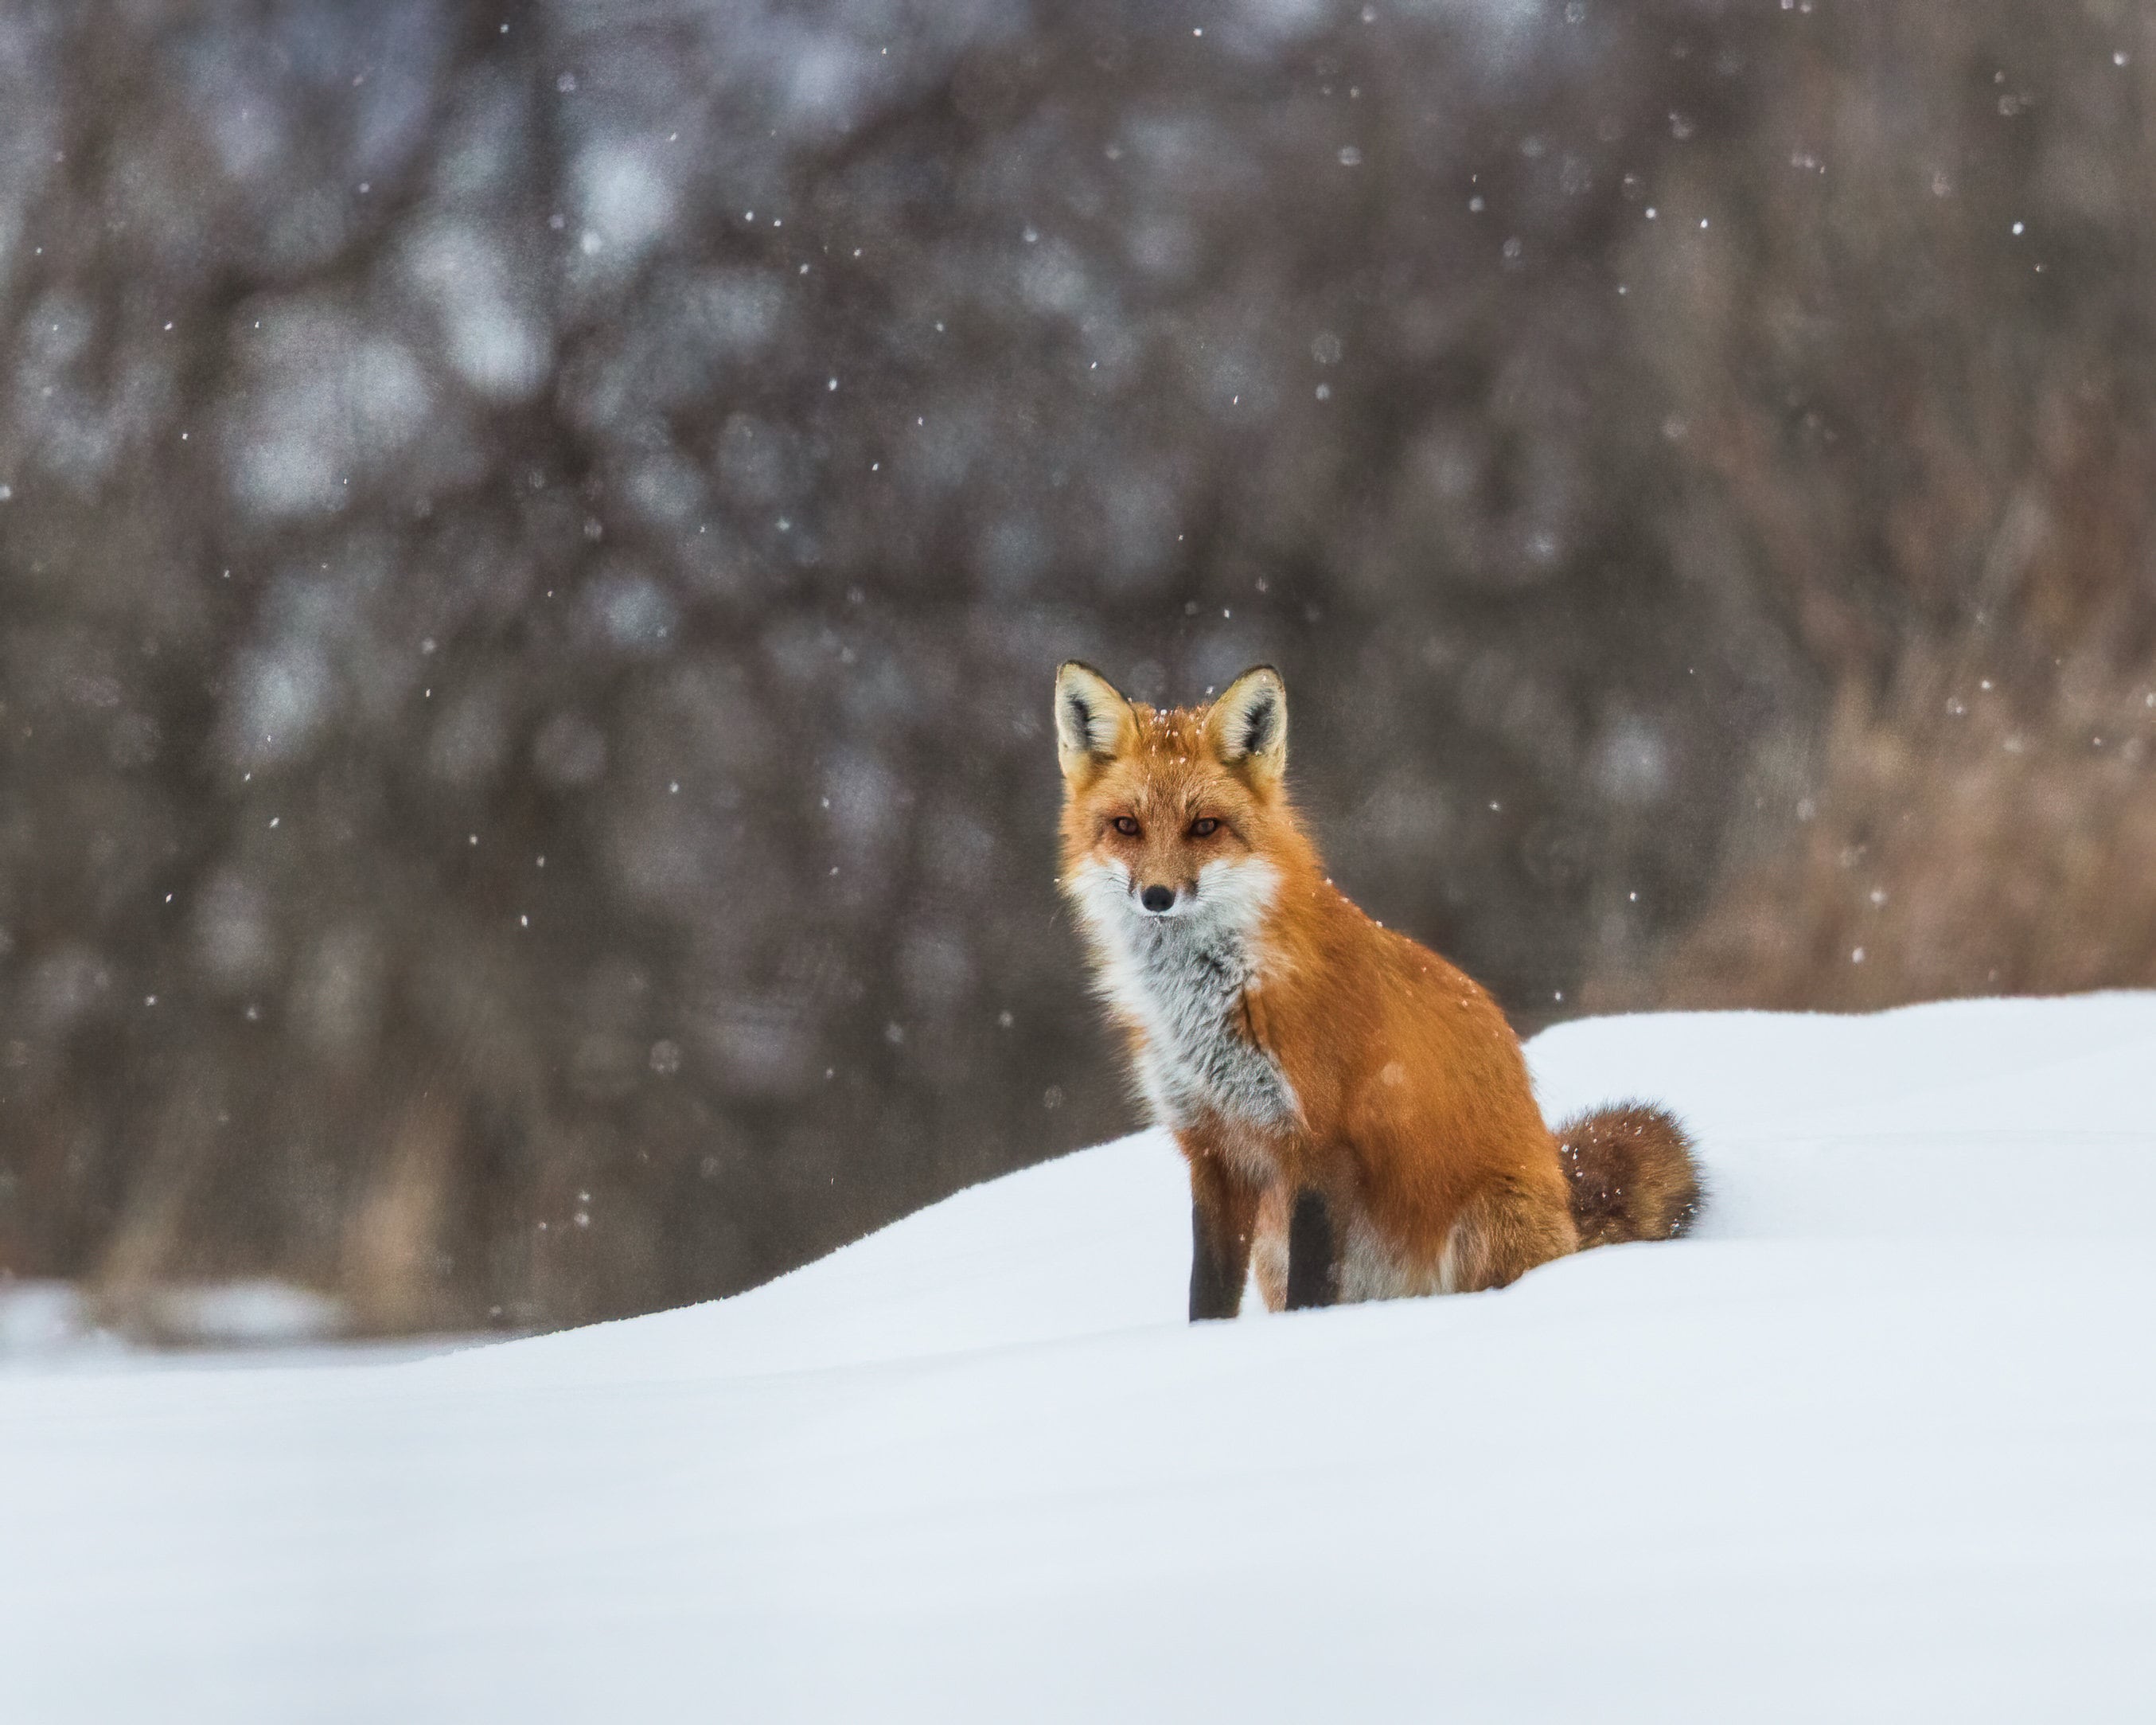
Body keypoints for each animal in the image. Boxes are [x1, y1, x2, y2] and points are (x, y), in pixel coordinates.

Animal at [1054, 660, 1702, 1319]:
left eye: (1204, 826)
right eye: (1126, 826)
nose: (1156, 896)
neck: (1218, 998)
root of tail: (1566, 1200)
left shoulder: (1319, 1144)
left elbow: (1309, 1291)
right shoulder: (1211, 1149)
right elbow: (1205, 1293)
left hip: (1482, 1225)